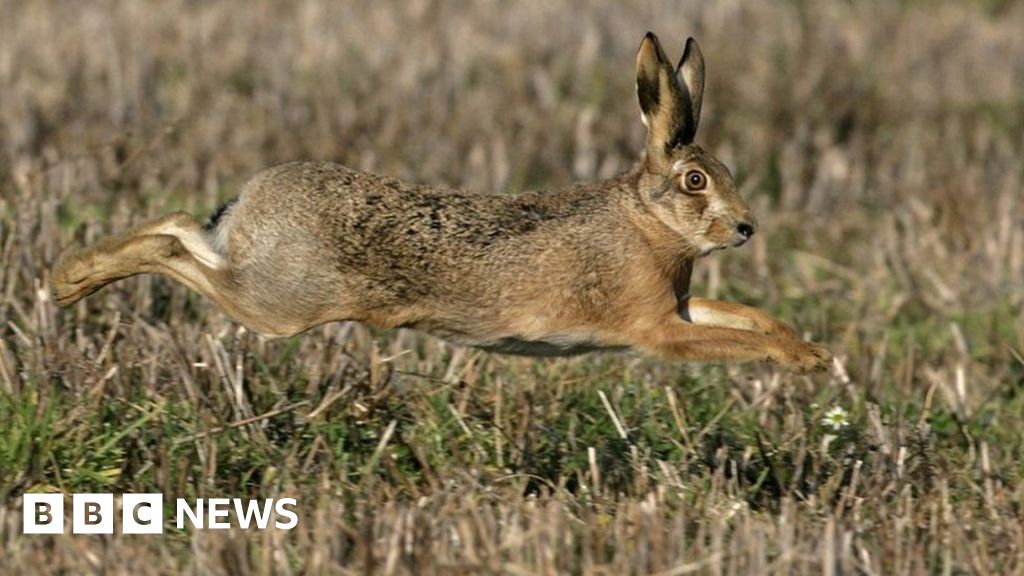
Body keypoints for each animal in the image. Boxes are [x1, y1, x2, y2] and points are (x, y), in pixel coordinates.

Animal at [51, 32, 832, 373]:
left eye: (724, 171)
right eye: (696, 181)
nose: (745, 228)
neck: (649, 221)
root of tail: (250, 202)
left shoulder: (679, 306)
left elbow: (744, 317)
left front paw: (811, 349)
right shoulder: (656, 328)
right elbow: (730, 339)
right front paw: (801, 363)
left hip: (261, 284)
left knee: (182, 228)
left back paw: (67, 277)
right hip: (277, 302)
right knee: (178, 245)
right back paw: (68, 280)